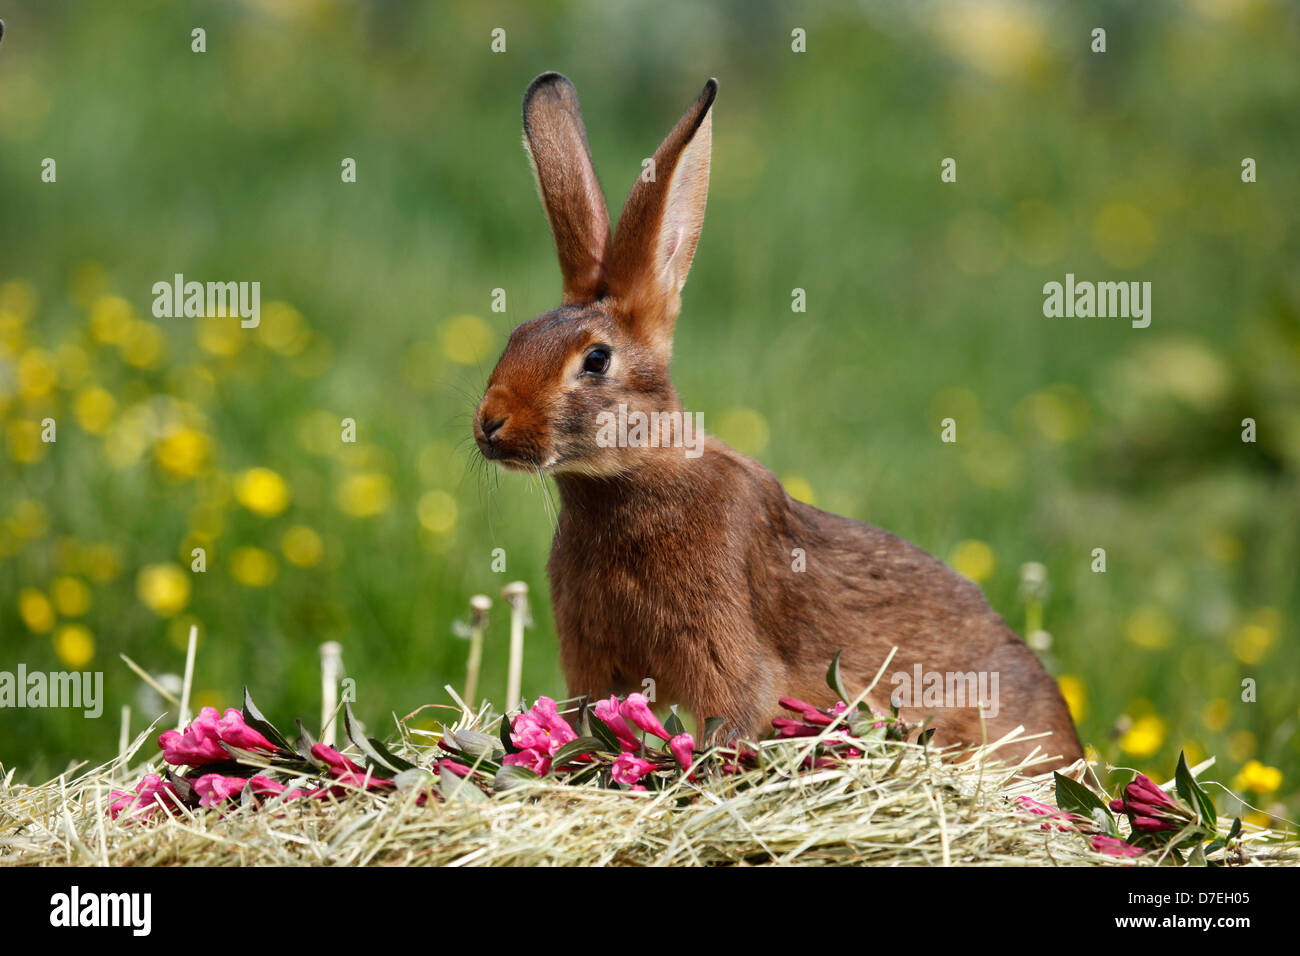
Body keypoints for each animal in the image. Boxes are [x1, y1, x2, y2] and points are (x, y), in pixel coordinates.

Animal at [474, 72, 1084, 772]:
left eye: (596, 360)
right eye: (516, 336)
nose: (490, 424)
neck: (634, 472)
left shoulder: (728, 652)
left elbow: (734, 712)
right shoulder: (594, 659)